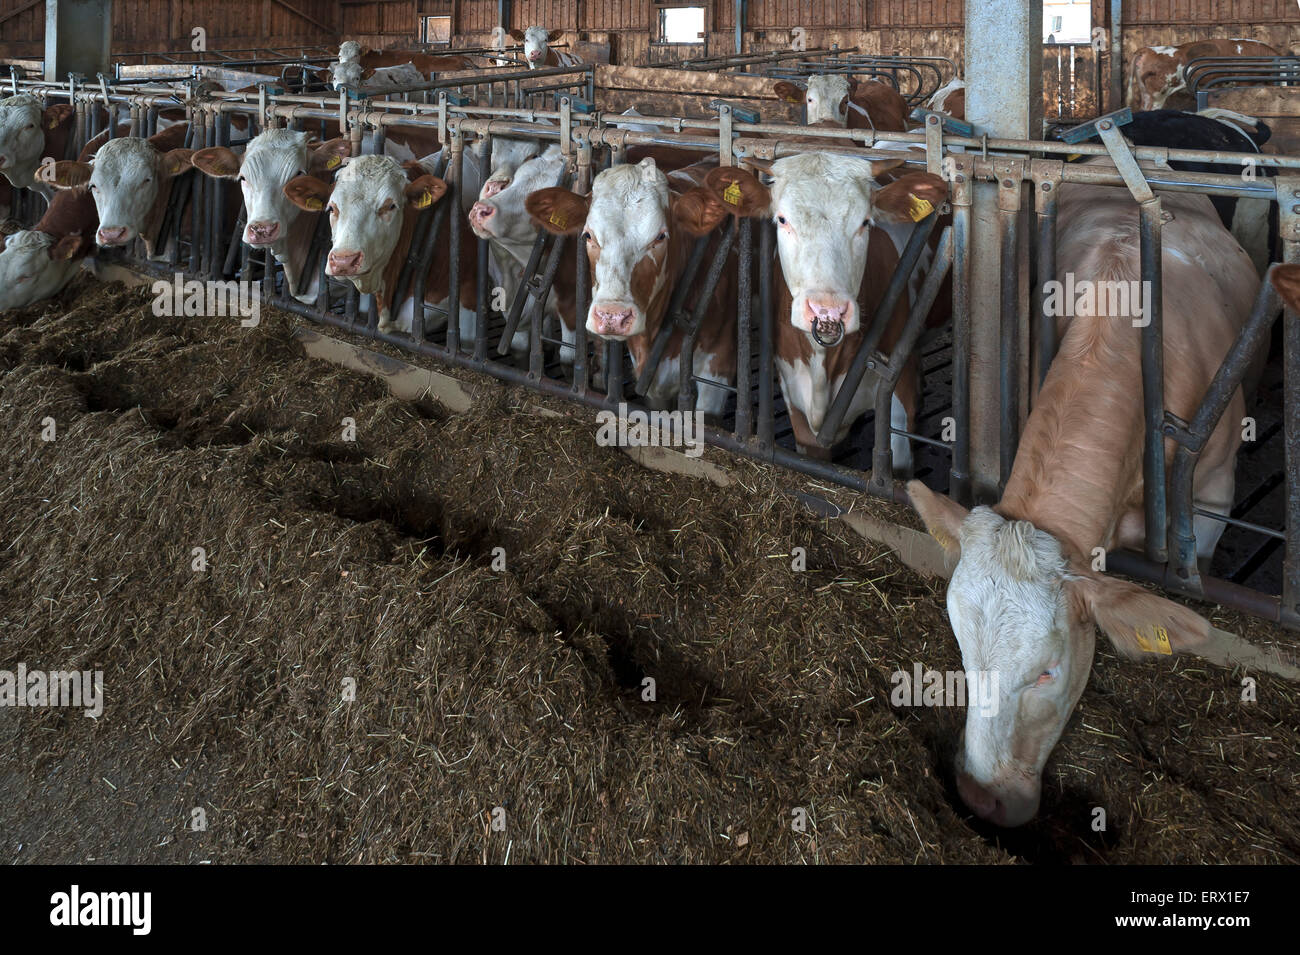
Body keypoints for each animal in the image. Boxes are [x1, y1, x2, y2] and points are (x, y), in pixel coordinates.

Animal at [697, 154, 948, 472]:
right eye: (782, 219)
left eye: (865, 222)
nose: (827, 310)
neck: (822, 364)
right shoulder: (797, 404)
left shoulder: (898, 399)